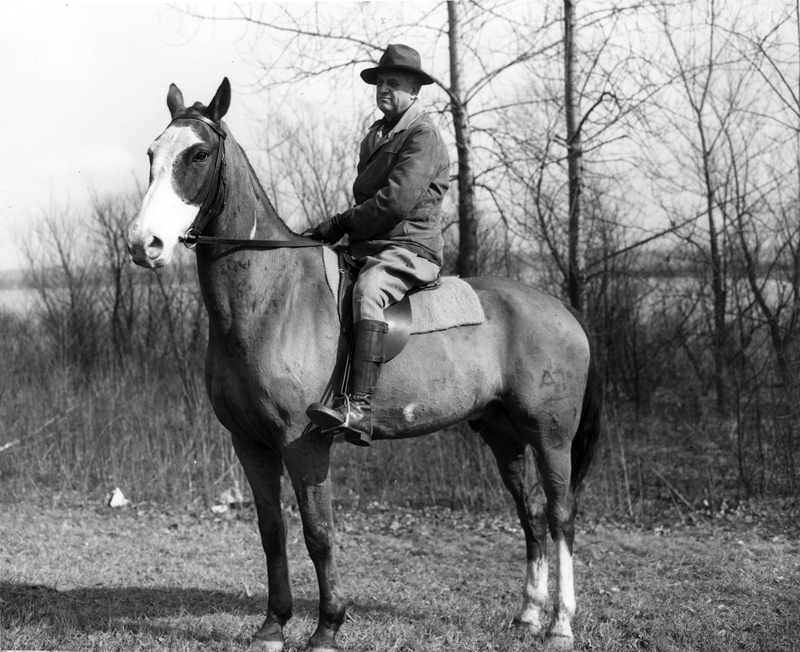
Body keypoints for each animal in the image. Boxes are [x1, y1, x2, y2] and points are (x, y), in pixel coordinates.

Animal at [127, 77, 602, 652]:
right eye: (152, 153)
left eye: (198, 154)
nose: (143, 244)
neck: (273, 298)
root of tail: (562, 310)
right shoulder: (250, 444)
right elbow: (272, 532)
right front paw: (273, 625)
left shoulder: (302, 444)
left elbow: (319, 534)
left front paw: (327, 627)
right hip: (503, 433)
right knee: (529, 512)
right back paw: (529, 615)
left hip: (550, 436)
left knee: (559, 516)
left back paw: (560, 623)